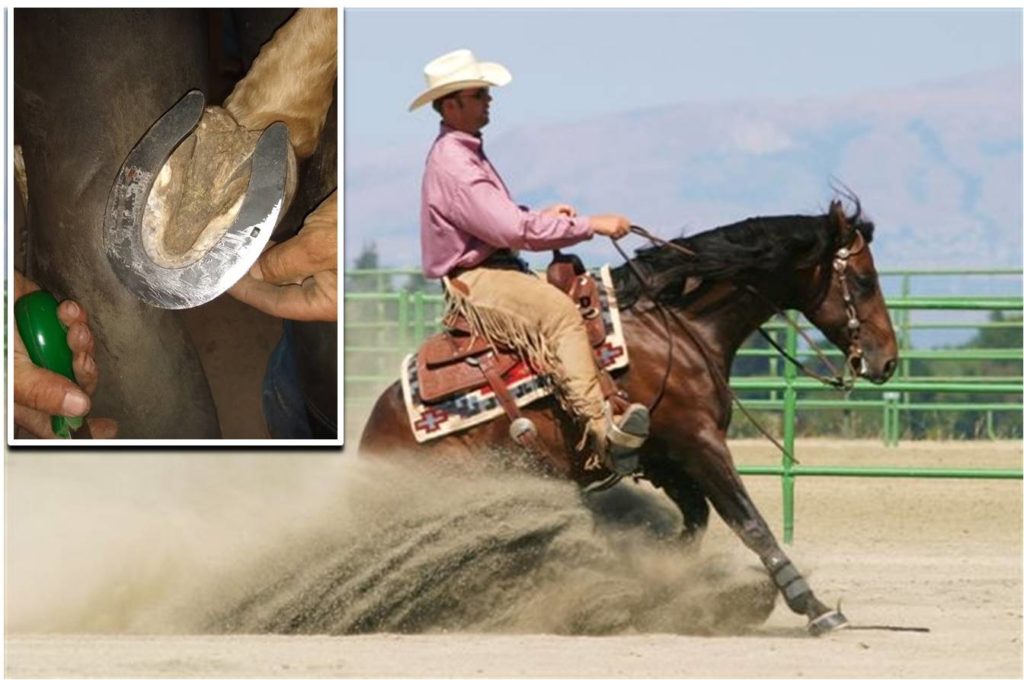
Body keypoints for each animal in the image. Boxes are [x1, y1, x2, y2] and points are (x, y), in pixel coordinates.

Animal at [360, 197, 899, 635]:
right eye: (865, 280)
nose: (887, 361)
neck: (675, 326)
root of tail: (371, 437)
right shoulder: (699, 443)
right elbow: (749, 523)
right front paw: (815, 607)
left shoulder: (665, 461)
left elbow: (694, 526)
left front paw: (667, 593)